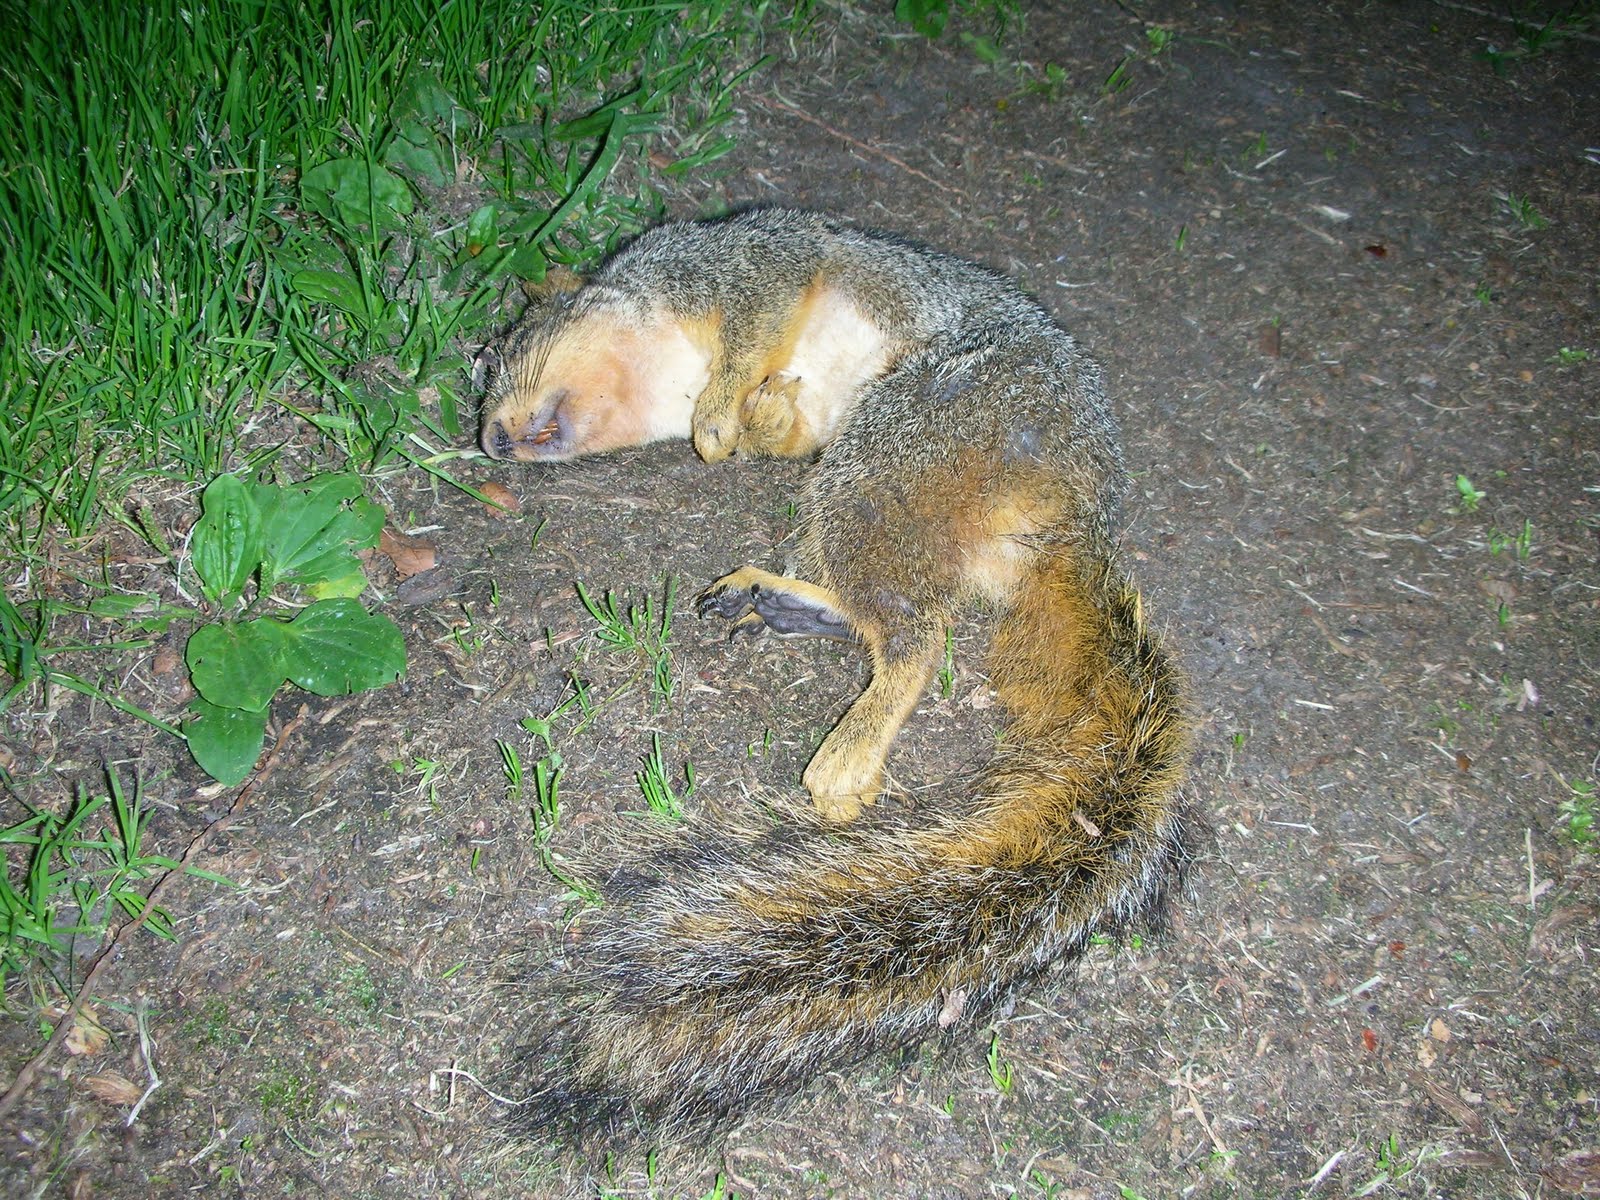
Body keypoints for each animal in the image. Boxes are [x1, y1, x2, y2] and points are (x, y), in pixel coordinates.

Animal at [480, 208, 1200, 1140]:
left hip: (903, 442)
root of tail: (1071, 514)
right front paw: (760, 418)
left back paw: (849, 750)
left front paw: (721, 415)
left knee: (918, 639)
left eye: (505, 349)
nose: (491, 440)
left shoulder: (740, 261)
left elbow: (757, 319)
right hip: (878, 476)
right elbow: (786, 424)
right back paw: (782, 601)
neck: (663, 361)